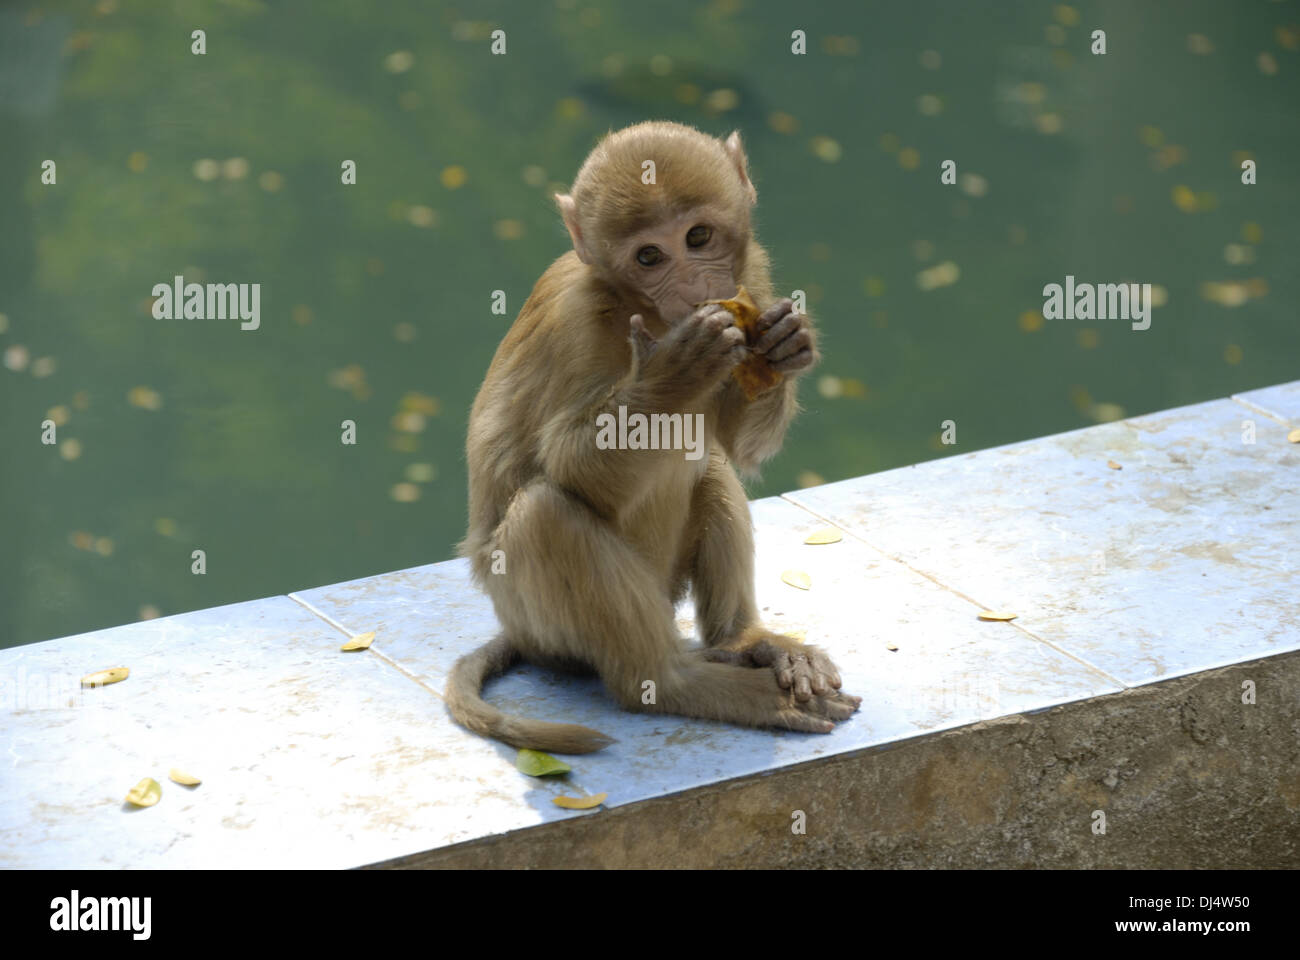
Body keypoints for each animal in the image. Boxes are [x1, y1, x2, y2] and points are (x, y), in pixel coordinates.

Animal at [447, 121, 860, 753]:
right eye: (649, 256)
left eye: (698, 236)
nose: (691, 284)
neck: (639, 309)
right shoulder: (577, 320)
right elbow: (565, 465)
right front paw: (674, 373)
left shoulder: (750, 277)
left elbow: (737, 447)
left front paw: (786, 345)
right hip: (539, 618)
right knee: (547, 511)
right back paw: (673, 683)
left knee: (710, 464)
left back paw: (744, 644)